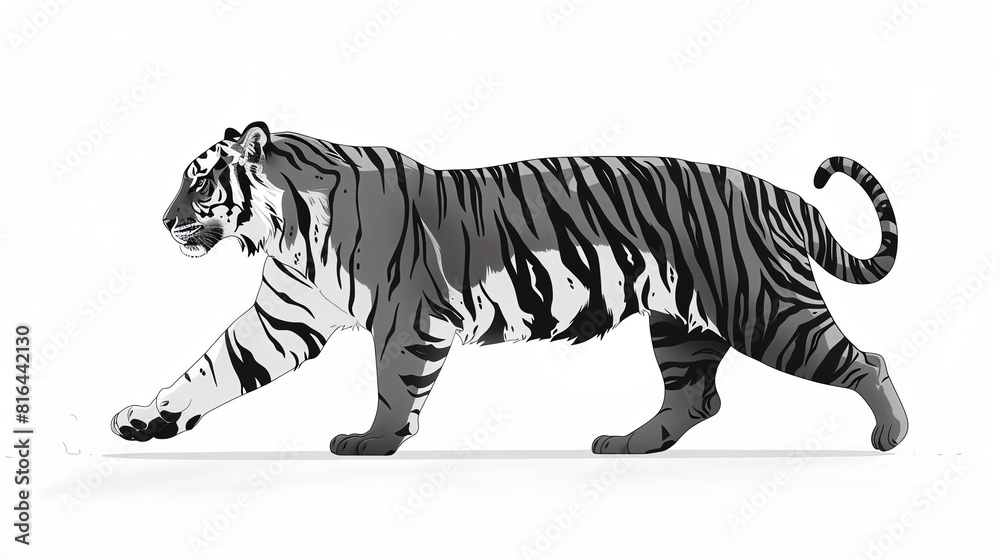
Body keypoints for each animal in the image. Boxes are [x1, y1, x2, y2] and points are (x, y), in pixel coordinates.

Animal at [111, 121, 908, 455]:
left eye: (200, 182)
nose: (163, 222)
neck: (288, 228)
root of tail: (783, 194)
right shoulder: (281, 318)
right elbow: (213, 369)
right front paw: (145, 421)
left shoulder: (408, 319)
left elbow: (394, 387)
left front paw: (373, 442)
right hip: (681, 326)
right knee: (695, 398)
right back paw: (627, 445)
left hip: (766, 308)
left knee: (865, 360)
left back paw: (891, 434)